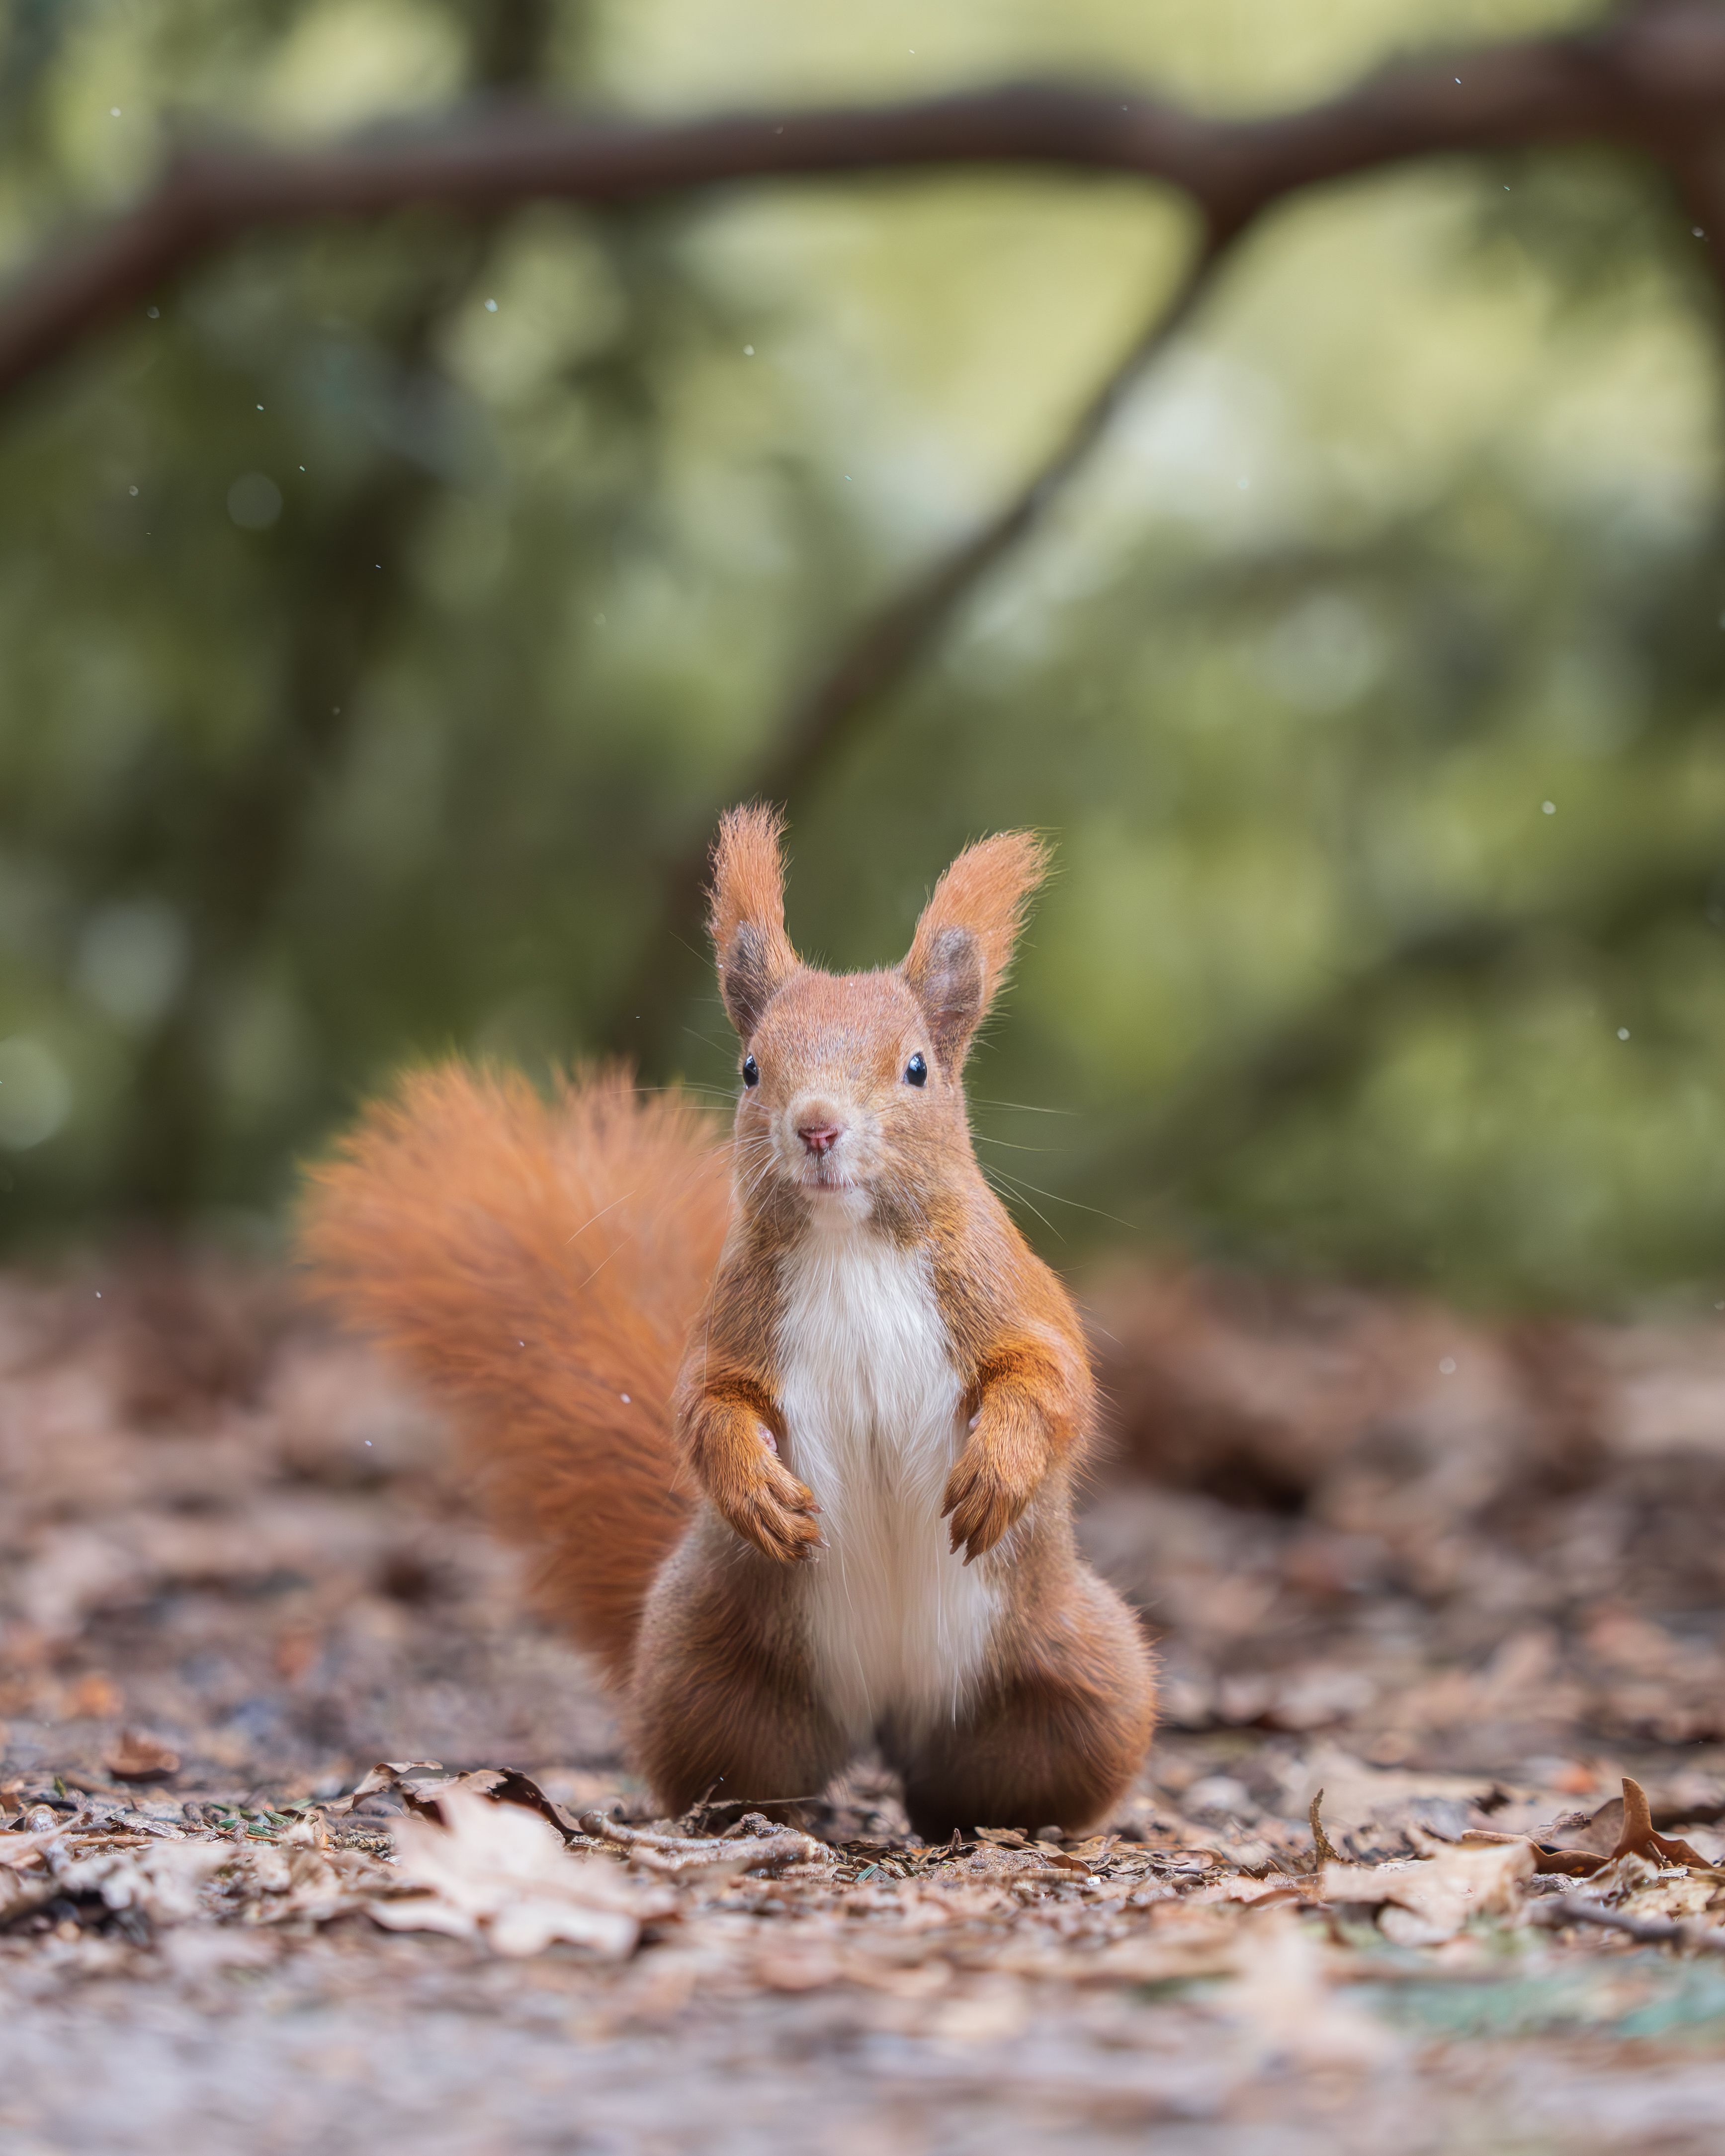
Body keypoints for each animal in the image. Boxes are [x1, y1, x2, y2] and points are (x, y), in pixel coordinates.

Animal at [301, 806, 1156, 1837]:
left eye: (916, 1067)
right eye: (752, 1068)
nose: (817, 1124)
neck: (849, 1245)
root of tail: (886, 1715)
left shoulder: (1013, 1298)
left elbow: (1051, 1383)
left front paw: (1000, 1469)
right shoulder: (732, 1333)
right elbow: (708, 1407)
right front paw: (758, 1494)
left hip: (1085, 1673)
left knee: (993, 1769)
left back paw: (1004, 1822)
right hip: (700, 1667)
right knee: (747, 1763)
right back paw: (753, 1816)